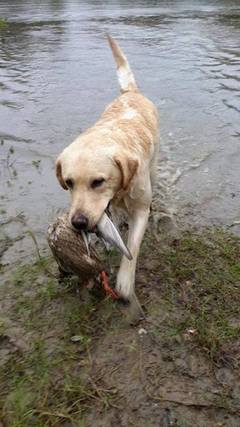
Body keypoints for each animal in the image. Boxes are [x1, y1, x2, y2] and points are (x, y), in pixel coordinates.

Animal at [55, 35, 158, 320]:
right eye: (69, 183)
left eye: (98, 182)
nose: (78, 223)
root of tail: (130, 92)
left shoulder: (141, 209)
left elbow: (132, 247)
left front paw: (124, 282)